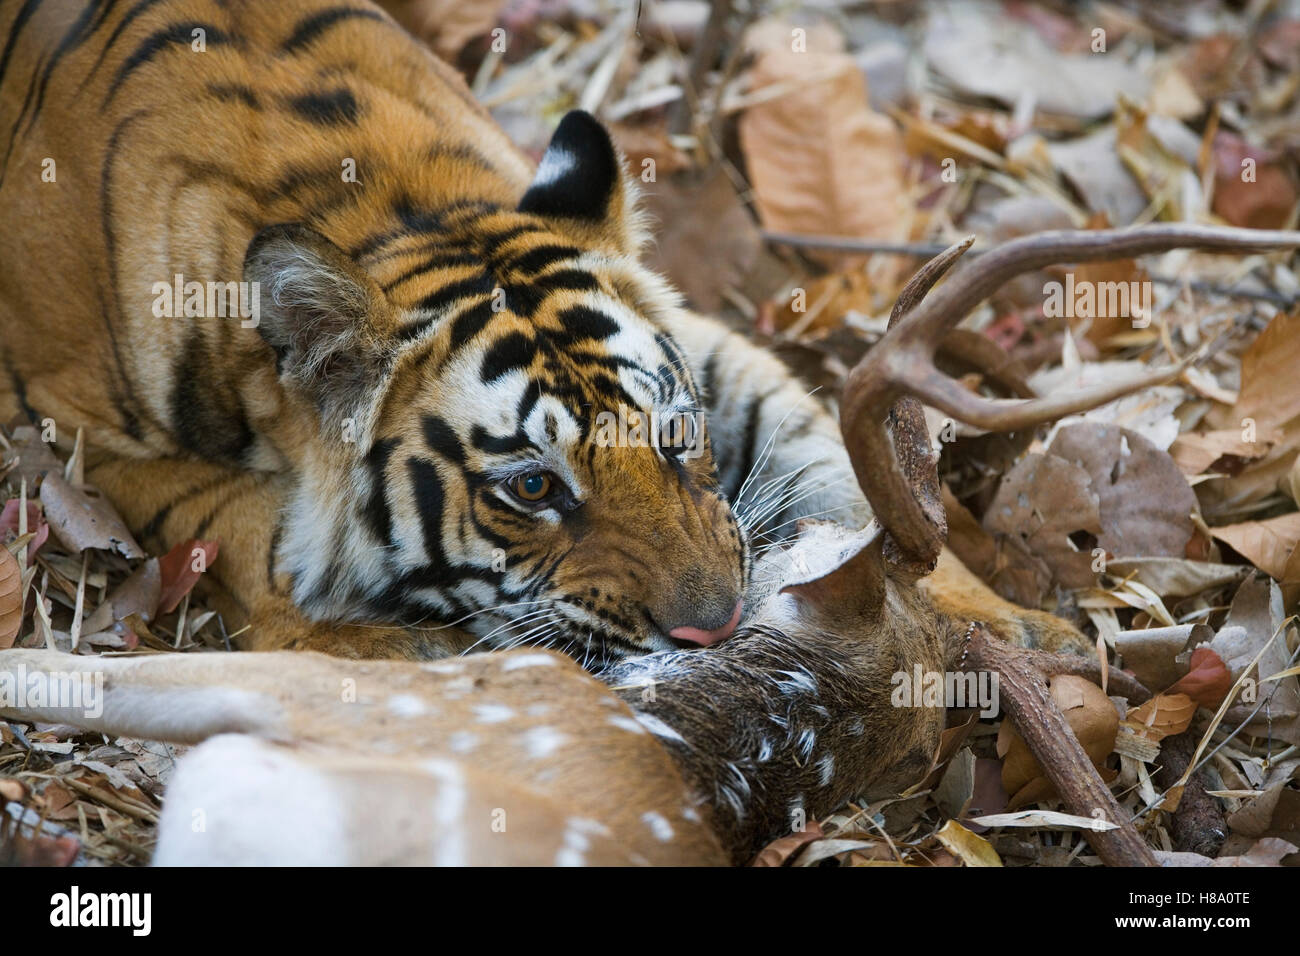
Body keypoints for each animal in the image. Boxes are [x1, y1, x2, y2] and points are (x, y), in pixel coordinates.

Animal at [0, 0, 1088, 664]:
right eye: (530, 488)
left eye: (675, 436)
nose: (719, 628)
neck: (388, 205)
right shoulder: (79, 428)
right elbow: (249, 524)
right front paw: (390, 646)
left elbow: (830, 460)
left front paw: (1009, 625)